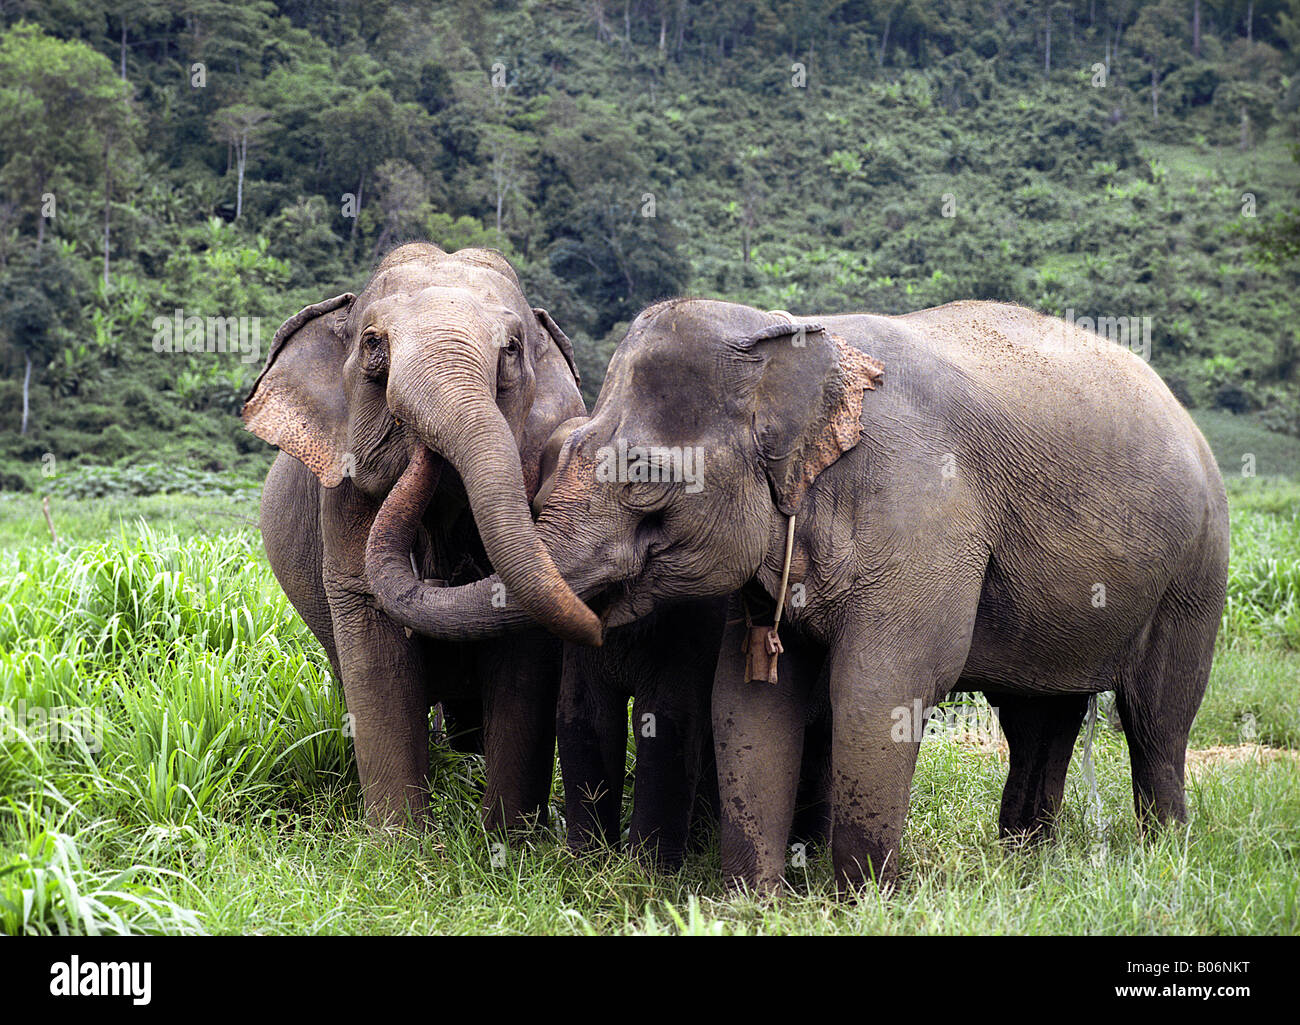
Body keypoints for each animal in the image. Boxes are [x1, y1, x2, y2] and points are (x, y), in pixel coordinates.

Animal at [361, 297, 1230, 894]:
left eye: (643, 477)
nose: (380, 367)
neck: (792, 338)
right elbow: (749, 699)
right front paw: (755, 901)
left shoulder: (925, 512)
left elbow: (880, 690)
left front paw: (864, 902)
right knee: (1038, 718)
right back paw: (1026, 863)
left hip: (1197, 569)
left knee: (1156, 717)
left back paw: (1164, 853)